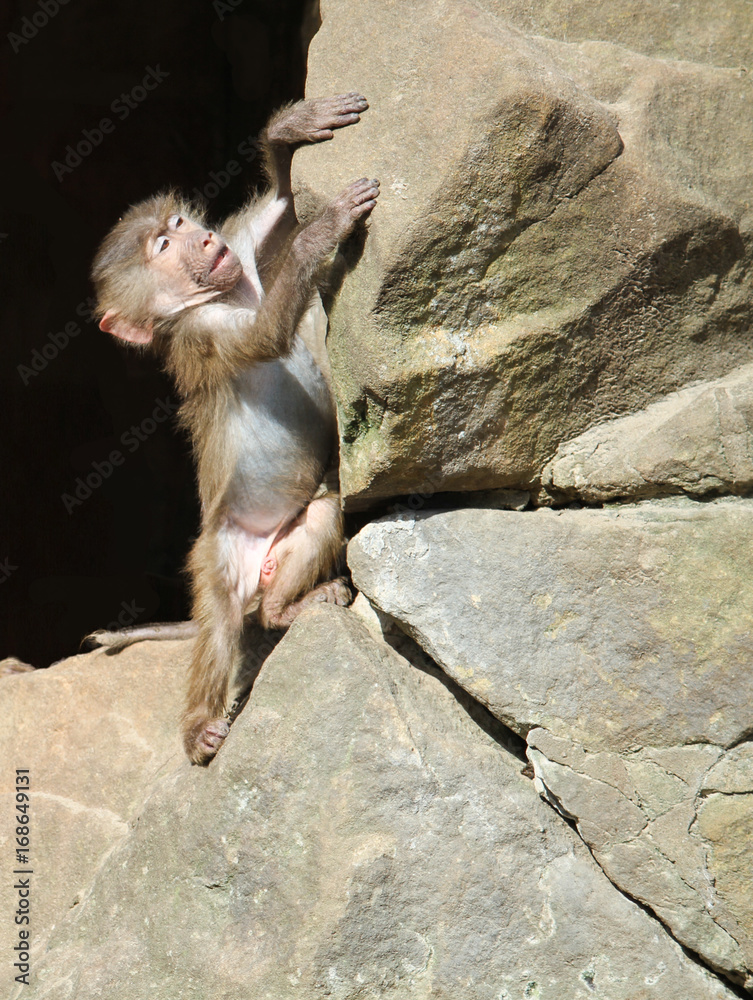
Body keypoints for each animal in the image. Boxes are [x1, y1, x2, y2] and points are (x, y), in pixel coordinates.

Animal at [88, 93, 379, 764]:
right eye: (162, 245)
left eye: (176, 223)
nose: (200, 237)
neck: (220, 297)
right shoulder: (203, 338)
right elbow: (267, 335)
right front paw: (320, 234)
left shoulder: (242, 258)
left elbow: (277, 213)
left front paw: (290, 131)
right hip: (217, 556)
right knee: (220, 628)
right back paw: (200, 727)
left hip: (285, 541)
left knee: (320, 517)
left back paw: (288, 607)